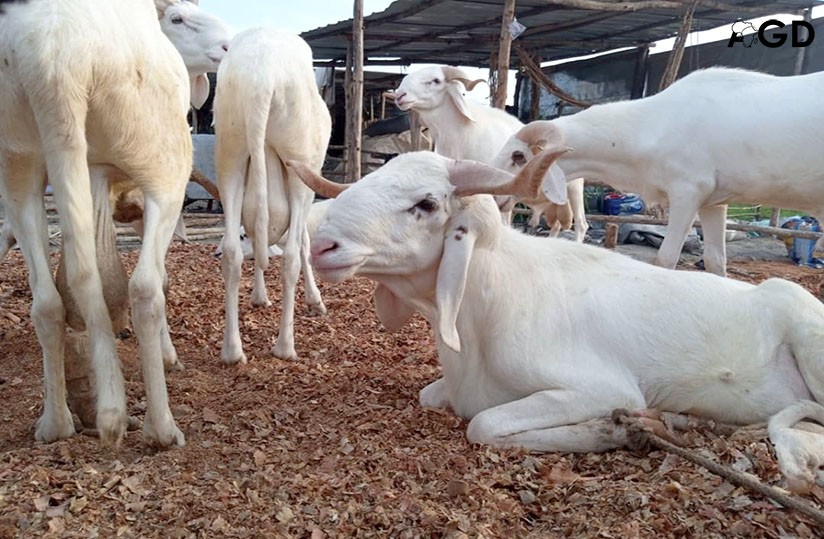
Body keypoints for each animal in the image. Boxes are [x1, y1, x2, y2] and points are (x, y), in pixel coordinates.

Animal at [0, 0, 193, 447]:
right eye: (178, 18)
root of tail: (53, 63)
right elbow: (151, 279)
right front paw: (167, 356)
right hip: (163, 158)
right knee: (144, 289)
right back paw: (161, 428)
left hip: (18, 159)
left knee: (47, 300)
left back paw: (56, 424)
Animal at [214, 27, 330, 363]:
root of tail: (261, 76)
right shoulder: (308, 188)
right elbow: (303, 243)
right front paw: (315, 300)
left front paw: (259, 296)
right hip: (298, 165)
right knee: (290, 258)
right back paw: (285, 347)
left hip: (231, 154)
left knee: (232, 253)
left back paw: (232, 351)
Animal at [289, 149, 824, 493]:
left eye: (426, 203)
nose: (323, 246)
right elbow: (433, 398)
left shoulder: (604, 389)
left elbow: (483, 425)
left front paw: (611, 432)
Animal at [394, 66, 588, 242]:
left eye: (435, 80)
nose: (400, 96)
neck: (464, 135)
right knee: (557, 225)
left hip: (574, 189)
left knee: (581, 224)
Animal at [493, 67, 824, 276]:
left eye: (518, 156)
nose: (495, 194)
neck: (653, 126)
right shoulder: (714, 203)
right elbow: (715, 262)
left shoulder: (688, 193)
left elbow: (665, 259)